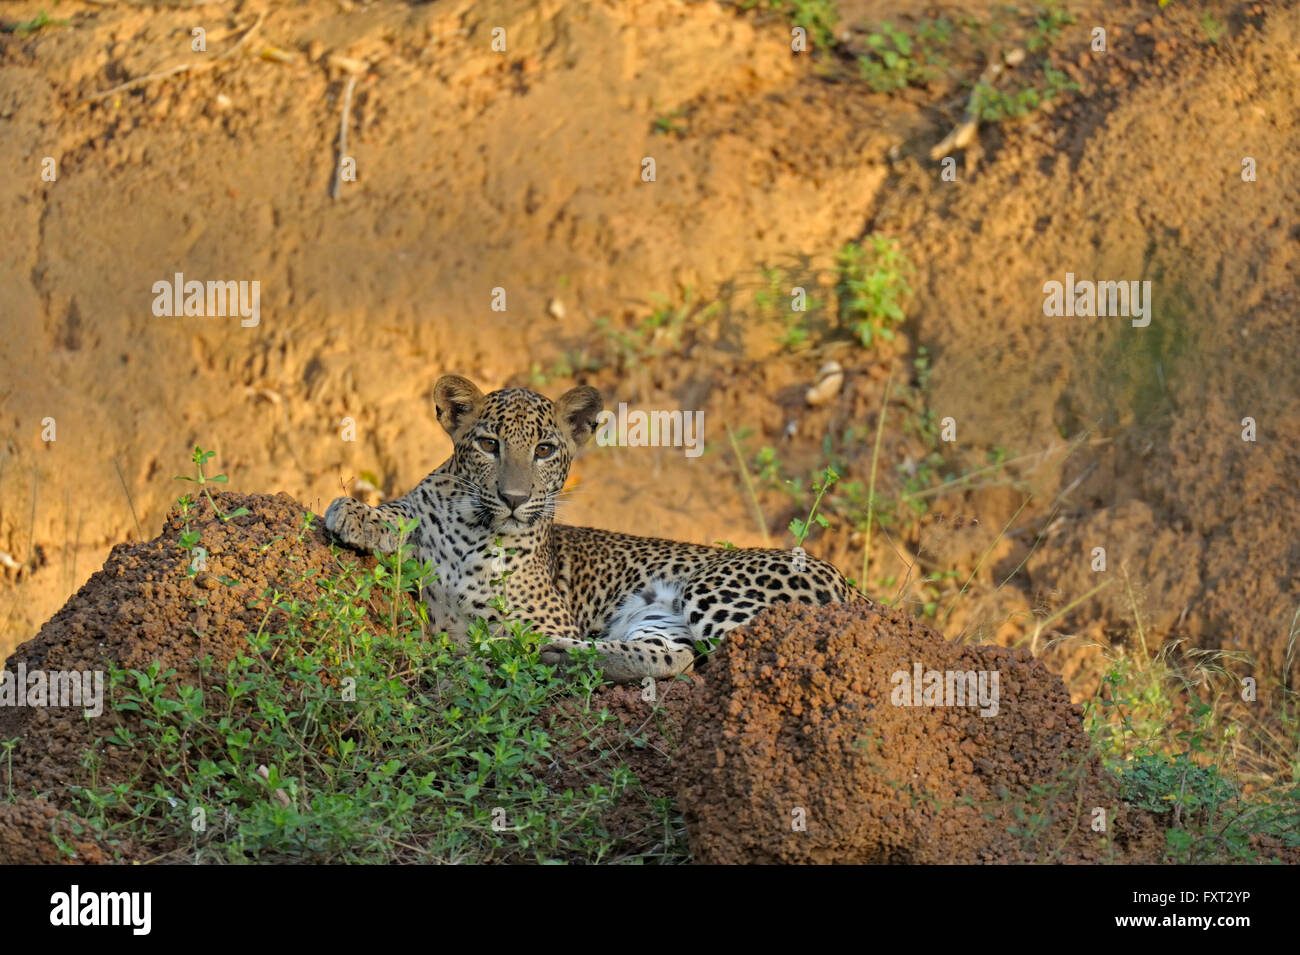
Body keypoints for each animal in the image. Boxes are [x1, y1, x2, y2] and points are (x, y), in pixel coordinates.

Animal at [324, 375, 867, 683]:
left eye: (545, 450)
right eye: (488, 444)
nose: (514, 499)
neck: (475, 530)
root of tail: (857, 588)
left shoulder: (546, 613)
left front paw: (482, 641)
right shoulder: (425, 513)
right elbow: (402, 514)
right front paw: (352, 514)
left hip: (712, 590)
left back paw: (536, 650)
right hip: (658, 619)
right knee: (670, 657)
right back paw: (559, 657)